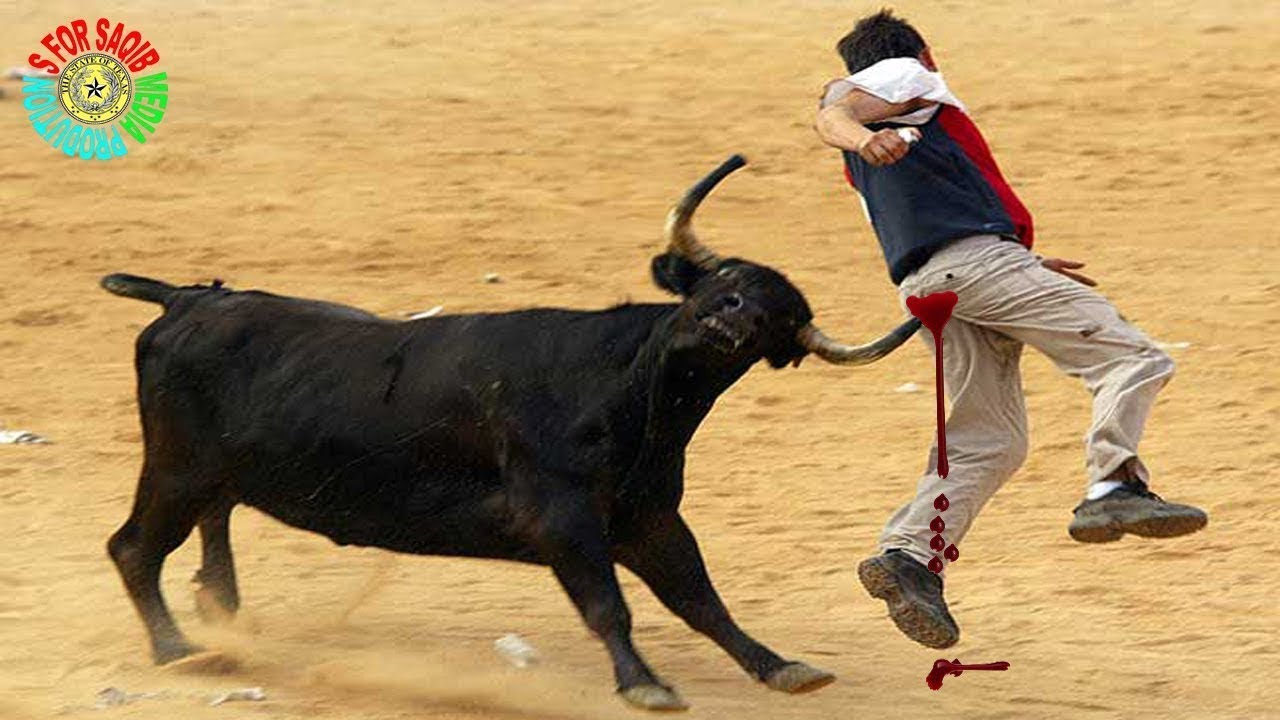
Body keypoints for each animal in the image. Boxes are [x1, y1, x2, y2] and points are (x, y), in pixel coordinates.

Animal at [102, 155, 920, 711]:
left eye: (777, 320)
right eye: (724, 285)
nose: (728, 322)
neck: (634, 394)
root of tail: (188, 299)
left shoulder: (650, 518)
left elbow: (700, 598)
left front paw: (781, 668)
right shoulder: (560, 517)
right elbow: (610, 604)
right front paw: (646, 686)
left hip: (205, 471)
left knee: (203, 521)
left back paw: (218, 610)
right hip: (175, 466)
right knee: (134, 547)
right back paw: (179, 649)